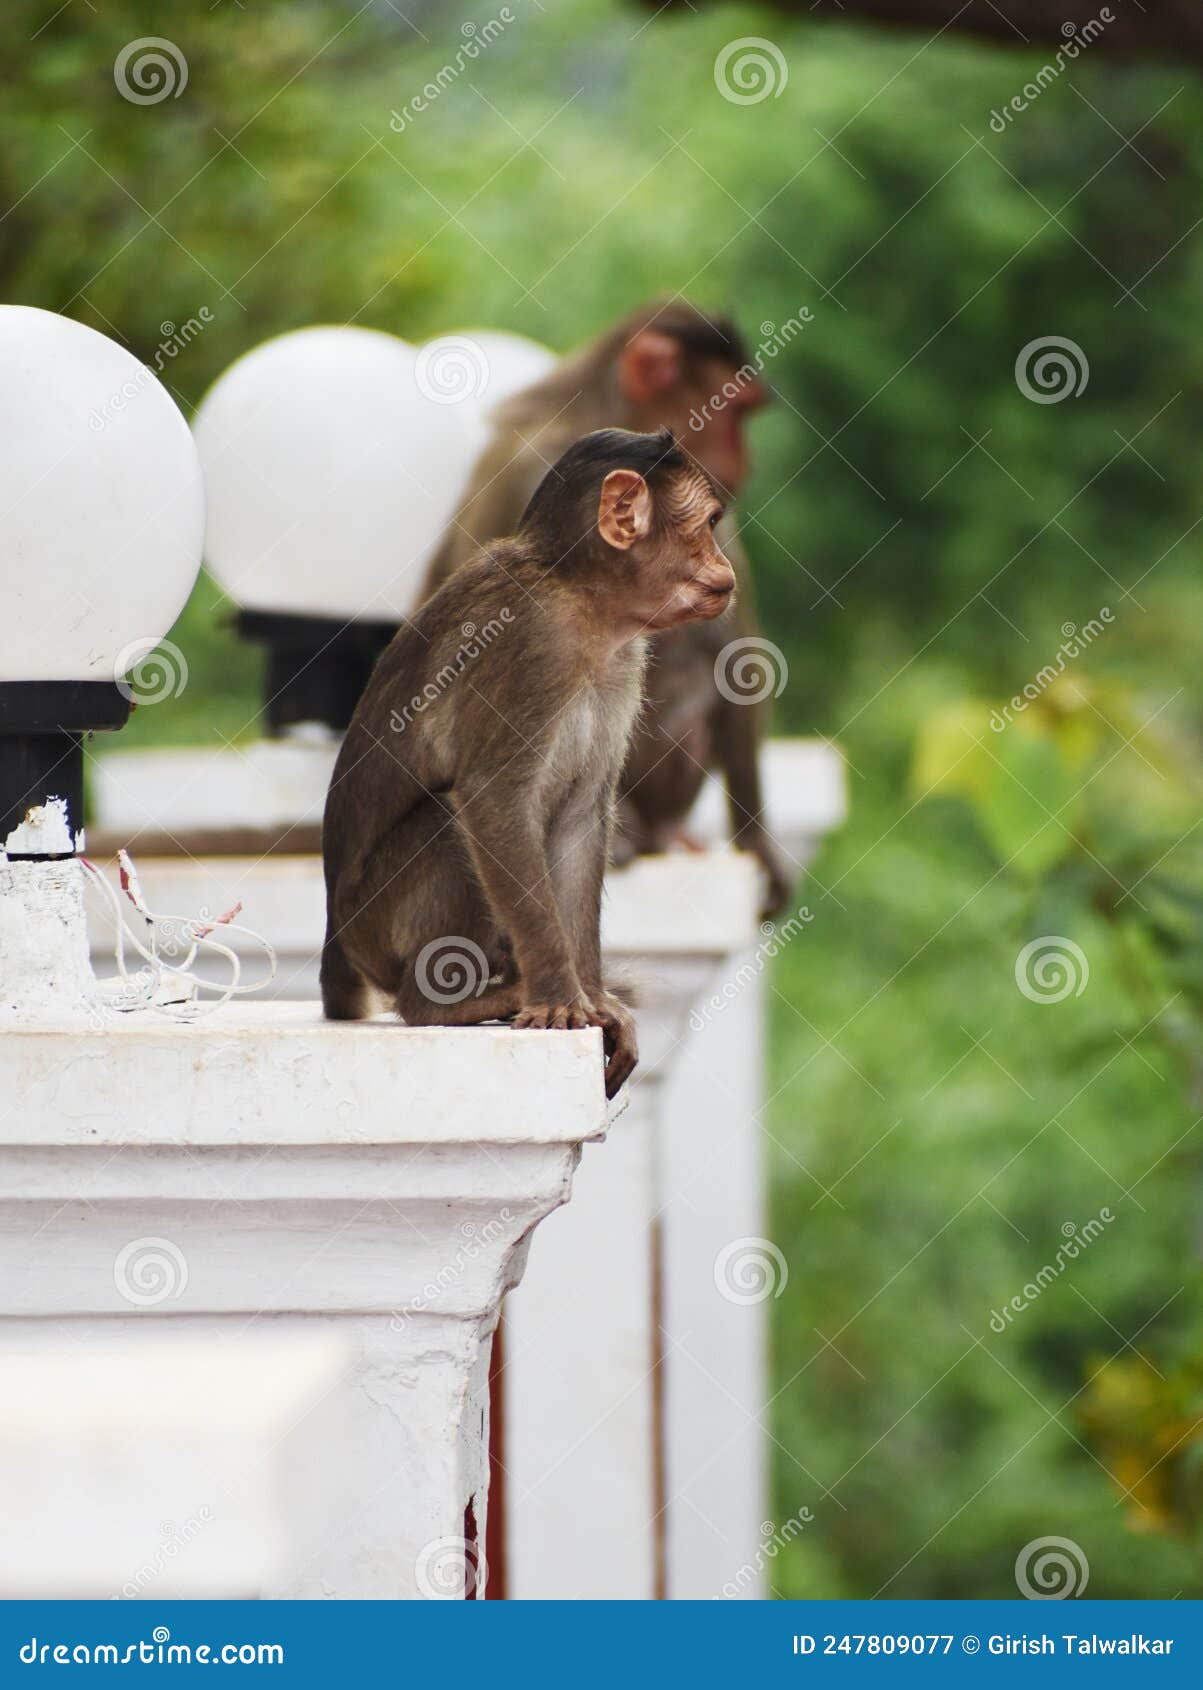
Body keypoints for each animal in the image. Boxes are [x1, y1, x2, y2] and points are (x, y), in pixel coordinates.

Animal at [321, 427, 738, 1099]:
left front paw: (594, 997)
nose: (726, 569)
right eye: (708, 525)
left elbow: (581, 817)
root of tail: (339, 940)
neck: (581, 599)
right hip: (379, 927)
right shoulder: (534, 645)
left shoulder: (625, 662)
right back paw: (440, 1005)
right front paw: (559, 996)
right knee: (447, 820)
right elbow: (492, 798)